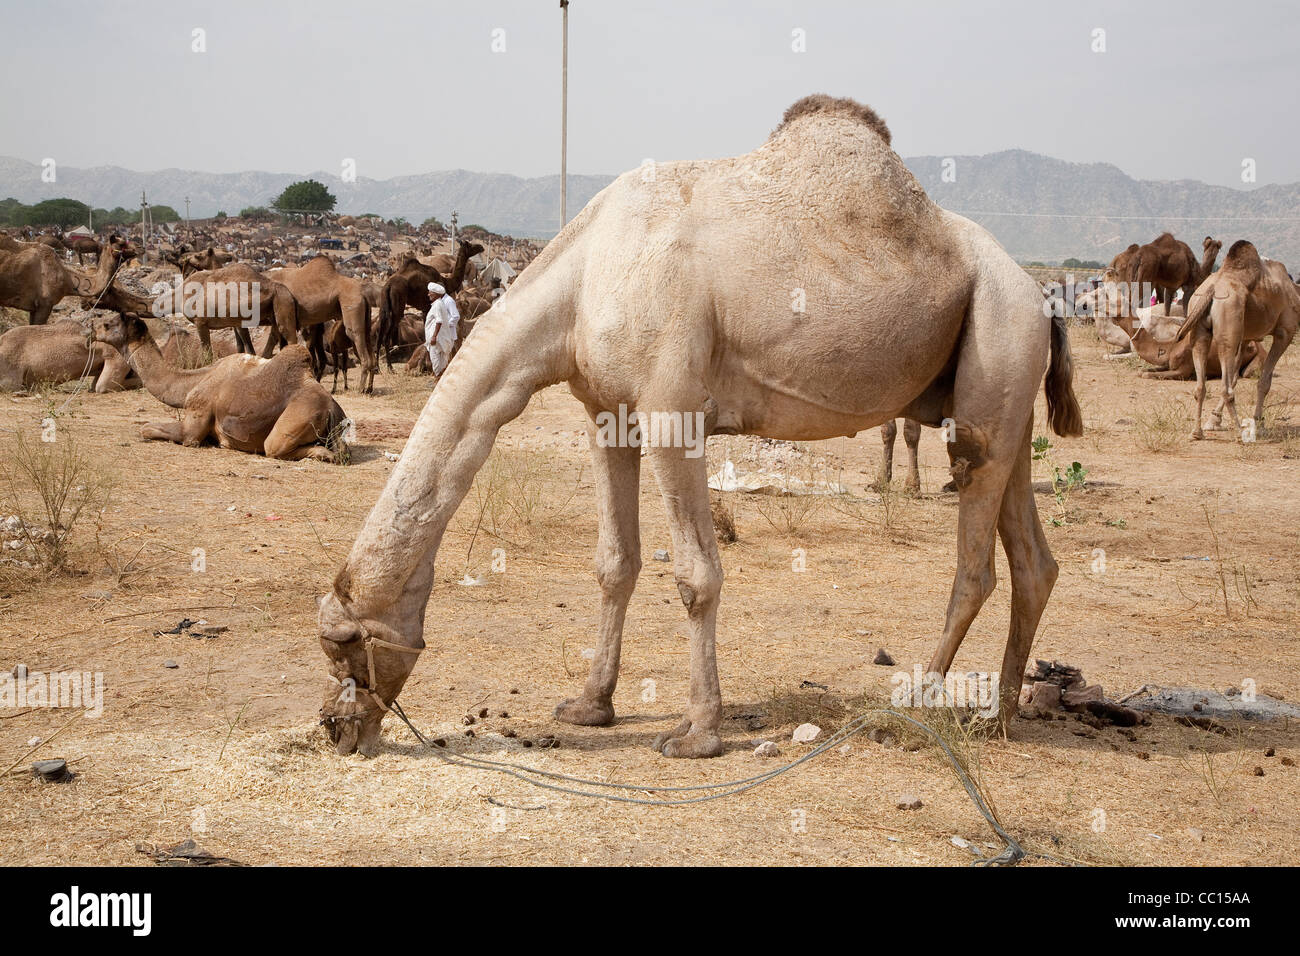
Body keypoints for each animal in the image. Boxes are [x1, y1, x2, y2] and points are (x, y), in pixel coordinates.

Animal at [92, 312, 350, 461]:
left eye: (107, 324)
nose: (92, 331)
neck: (194, 381)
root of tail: (332, 409)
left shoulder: (196, 418)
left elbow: (147, 429)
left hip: (297, 419)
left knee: (274, 447)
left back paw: (321, 454)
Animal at [315, 95, 1083, 758]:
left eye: (346, 642)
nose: (338, 728)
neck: (581, 282)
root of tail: (1039, 293)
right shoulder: (608, 417)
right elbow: (614, 563)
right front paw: (589, 705)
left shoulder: (670, 414)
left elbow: (695, 575)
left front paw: (698, 734)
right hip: (1000, 397)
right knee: (1032, 558)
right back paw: (999, 716)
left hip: (998, 337)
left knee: (975, 563)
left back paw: (909, 708)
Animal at [1177, 240, 1299, 440]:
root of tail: (1211, 289)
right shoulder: (1285, 332)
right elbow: (1264, 382)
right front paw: (1259, 423)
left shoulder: (1244, 337)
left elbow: (1234, 377)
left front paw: (1214, 420)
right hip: (1228, 321)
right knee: (1226, 389)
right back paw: (1241, 433)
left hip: (1200, 326)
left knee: (1201, 385)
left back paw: (1197, 432)